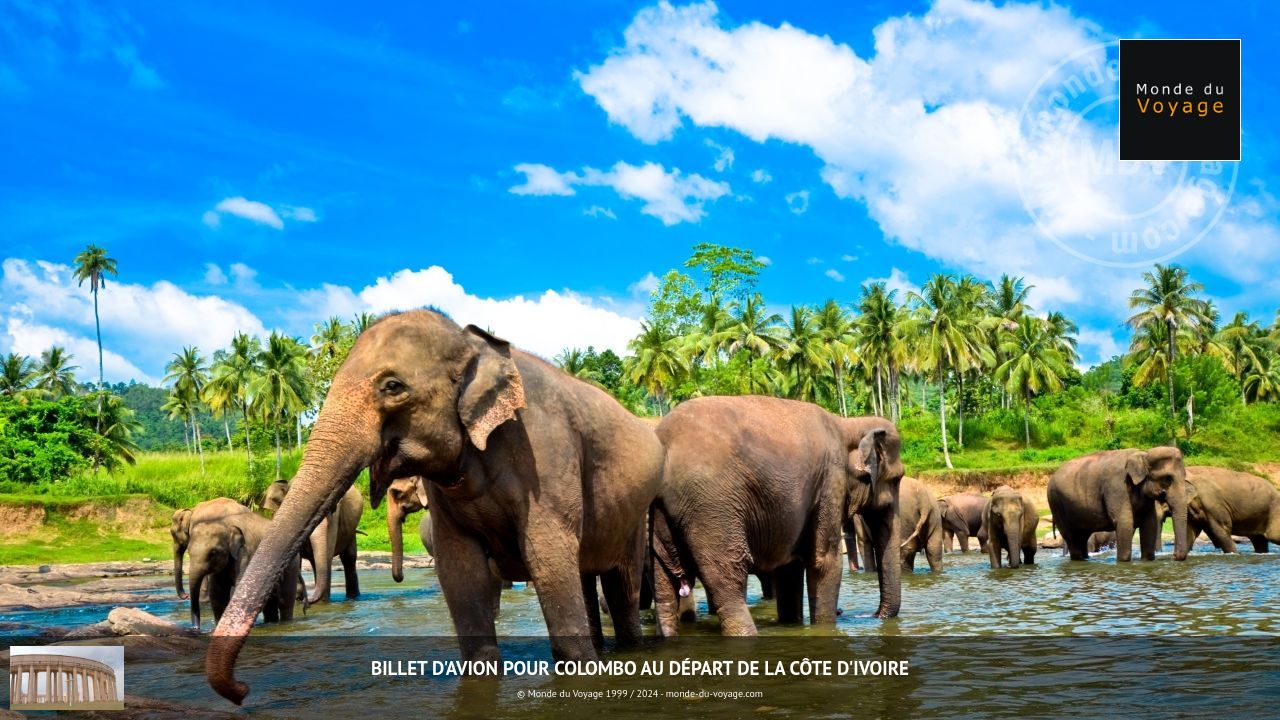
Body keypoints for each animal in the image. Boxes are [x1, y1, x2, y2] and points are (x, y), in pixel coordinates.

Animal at [204, 308, 665, 702]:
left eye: (392, 387)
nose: (242, 691)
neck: (472, 342)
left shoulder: (547, 457)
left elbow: (548, 558)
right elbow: (461, 571)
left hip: (635, 512)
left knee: (621, 588)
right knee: (585, 579)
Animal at [650, 394, 901, 635]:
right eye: (897, 479)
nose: (870, 615)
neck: (847, 424)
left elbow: (789, 567)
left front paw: (792, 624)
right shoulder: (830, 481)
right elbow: (824, 561)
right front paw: (824, 629)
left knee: (664, 585)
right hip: (712, 507)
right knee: (728, 579)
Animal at [1049, 443, 1187, 561]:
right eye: (1167, 479)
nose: (1174, 555)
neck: (1143, 454)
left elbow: (1150, 523)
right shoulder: (1117, 487)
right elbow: (1125, 522)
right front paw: (1123, 561)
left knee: (1083, 536)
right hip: (1056, 503)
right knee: (1071, 536)